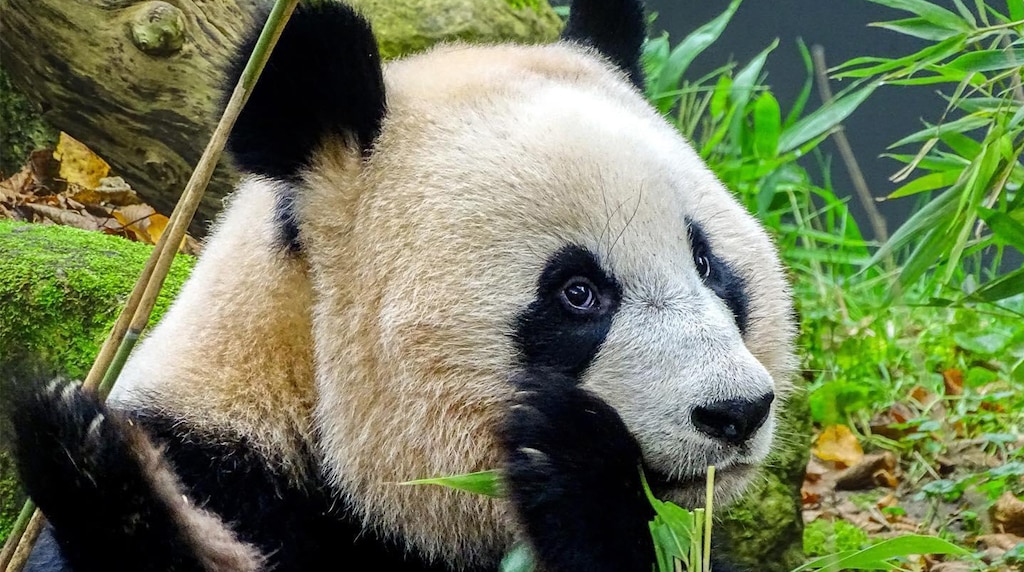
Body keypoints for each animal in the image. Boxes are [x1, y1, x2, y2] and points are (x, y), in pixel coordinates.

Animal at [8, 0, 798, 570]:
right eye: (577, 293)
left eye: (707, 264)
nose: (735, 412)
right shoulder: (225, 468)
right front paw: (88, 462)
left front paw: (577, 470)